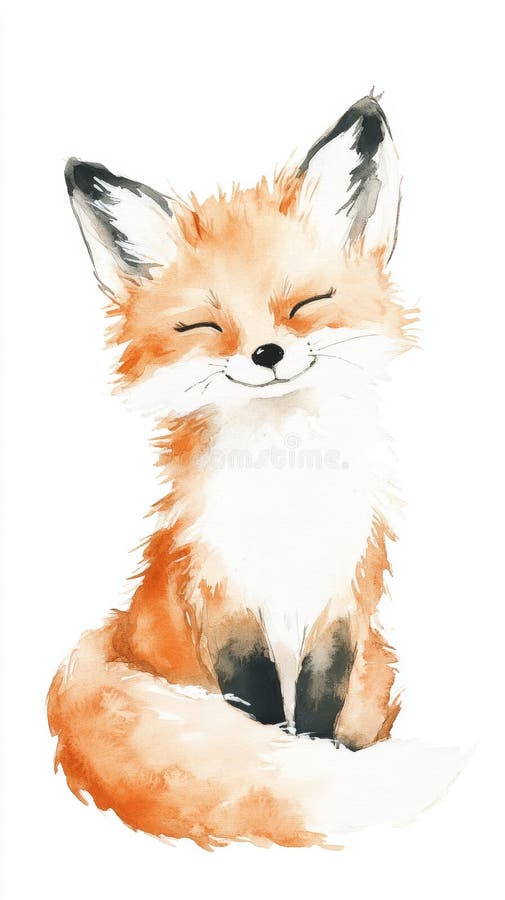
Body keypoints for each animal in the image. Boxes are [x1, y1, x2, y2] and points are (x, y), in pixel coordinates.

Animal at [48, 93, 417, 848]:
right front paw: (293, 764)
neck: (285, 493)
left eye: (305, 303)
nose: (267, 354)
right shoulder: (222, 604)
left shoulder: (340, 606)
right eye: (204, 327)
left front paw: (319, 754)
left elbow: (316, 709)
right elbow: (256, 709)